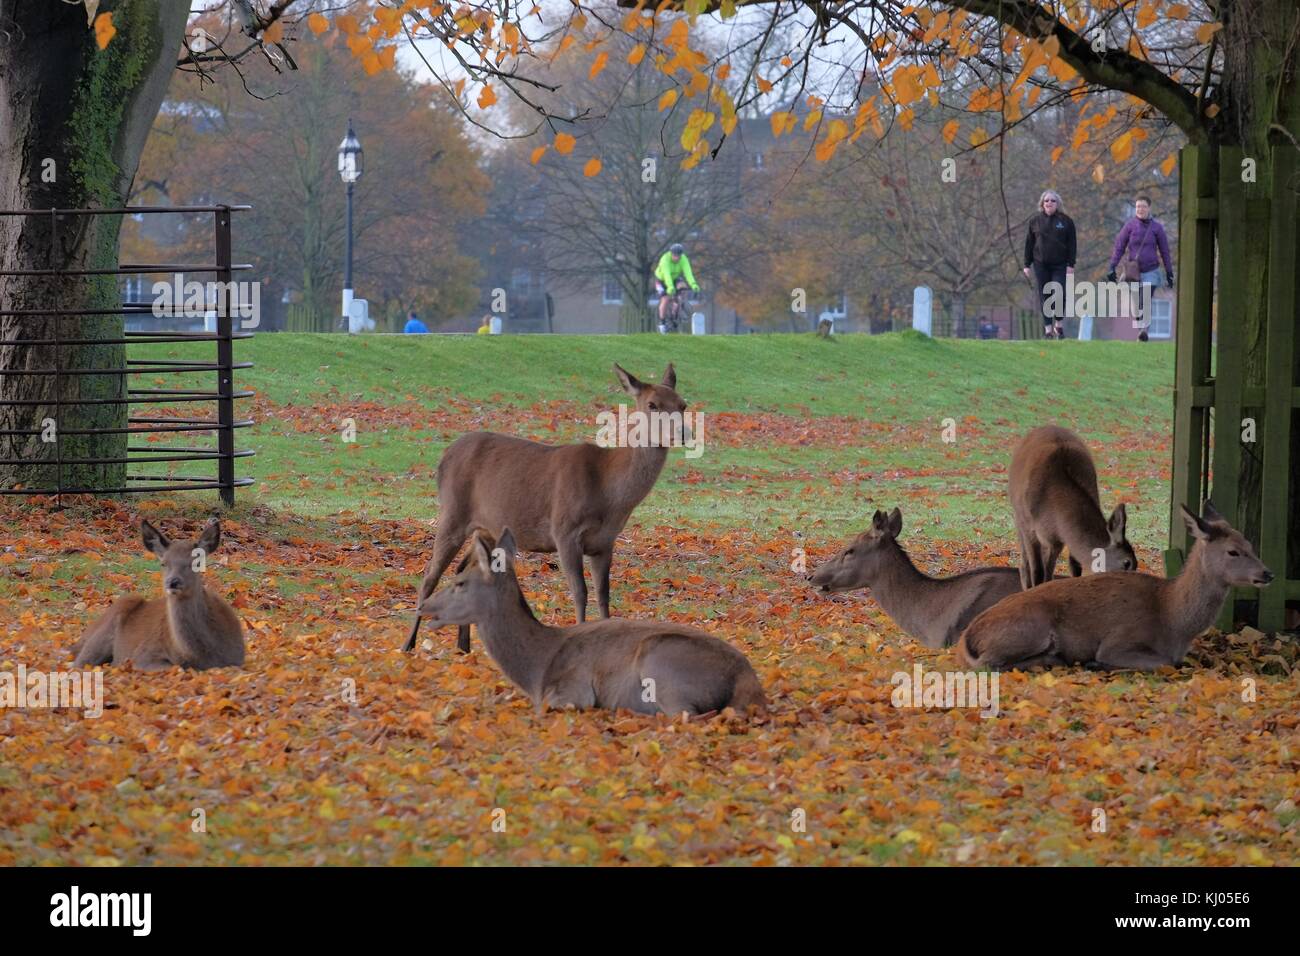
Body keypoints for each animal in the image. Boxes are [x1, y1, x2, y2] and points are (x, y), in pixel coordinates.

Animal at [404, 363, 685, 655]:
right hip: (453, 510)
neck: (608, 494)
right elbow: (580, 591)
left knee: (463, 569)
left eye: (683, 405)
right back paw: (409, 644)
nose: (682, 433)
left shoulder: (605, 542)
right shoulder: (564, 530)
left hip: (486, 528)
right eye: (652, 404)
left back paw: (464, 647)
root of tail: (443, 458)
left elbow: (603, 594)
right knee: (429, 575)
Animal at [417, 529, 768, 717]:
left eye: (460, 582)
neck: (536, 670)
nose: (423, 605)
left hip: (664, 664)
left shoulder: (573, 691)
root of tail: (749, 681)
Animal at [956, 502, 1273, 672]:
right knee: (989, 663)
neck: (1172, 620)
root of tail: (967, 638)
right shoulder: (1119, 640)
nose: (1267, 573)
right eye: (1233, 551)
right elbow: (1165, 662)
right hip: (1030, 627)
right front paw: (1097, 663)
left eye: (1250, 544)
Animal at [1008, 424, 1137, 589]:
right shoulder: (1029, 526)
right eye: (1127, 563)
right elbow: (1037, 572)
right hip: (1018, 515)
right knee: (1024, 565)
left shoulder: (1056, 540)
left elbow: (1066, 569)